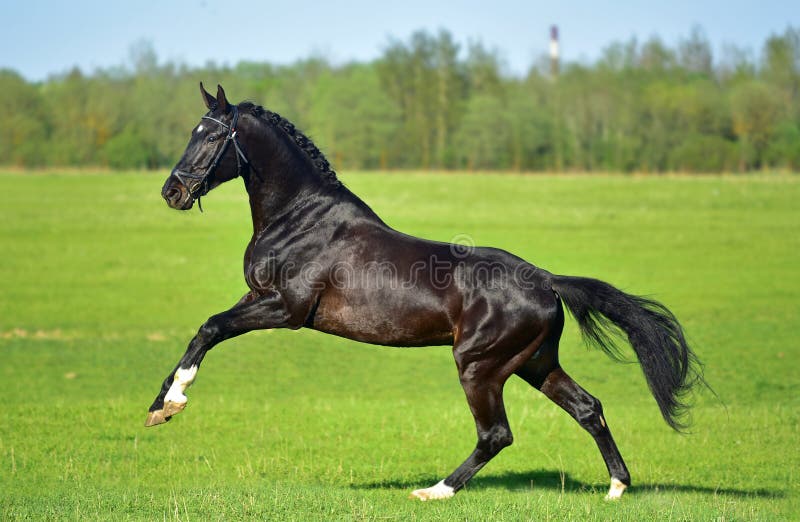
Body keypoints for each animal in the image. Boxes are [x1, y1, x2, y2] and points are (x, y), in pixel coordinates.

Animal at [147, 84, 703, 501]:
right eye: (193, 132)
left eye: (212, 137)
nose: (172, 192)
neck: (300, 217)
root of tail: (547, 280)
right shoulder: (256, 298)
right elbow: (200, 335)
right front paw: (158, 406)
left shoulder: (286, 309)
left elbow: (210, 328)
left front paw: (174, 401)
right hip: (534, 362)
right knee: (588, 407)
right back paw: (616, 488)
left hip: (479, 365)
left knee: (496, 434)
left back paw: (435, 491)